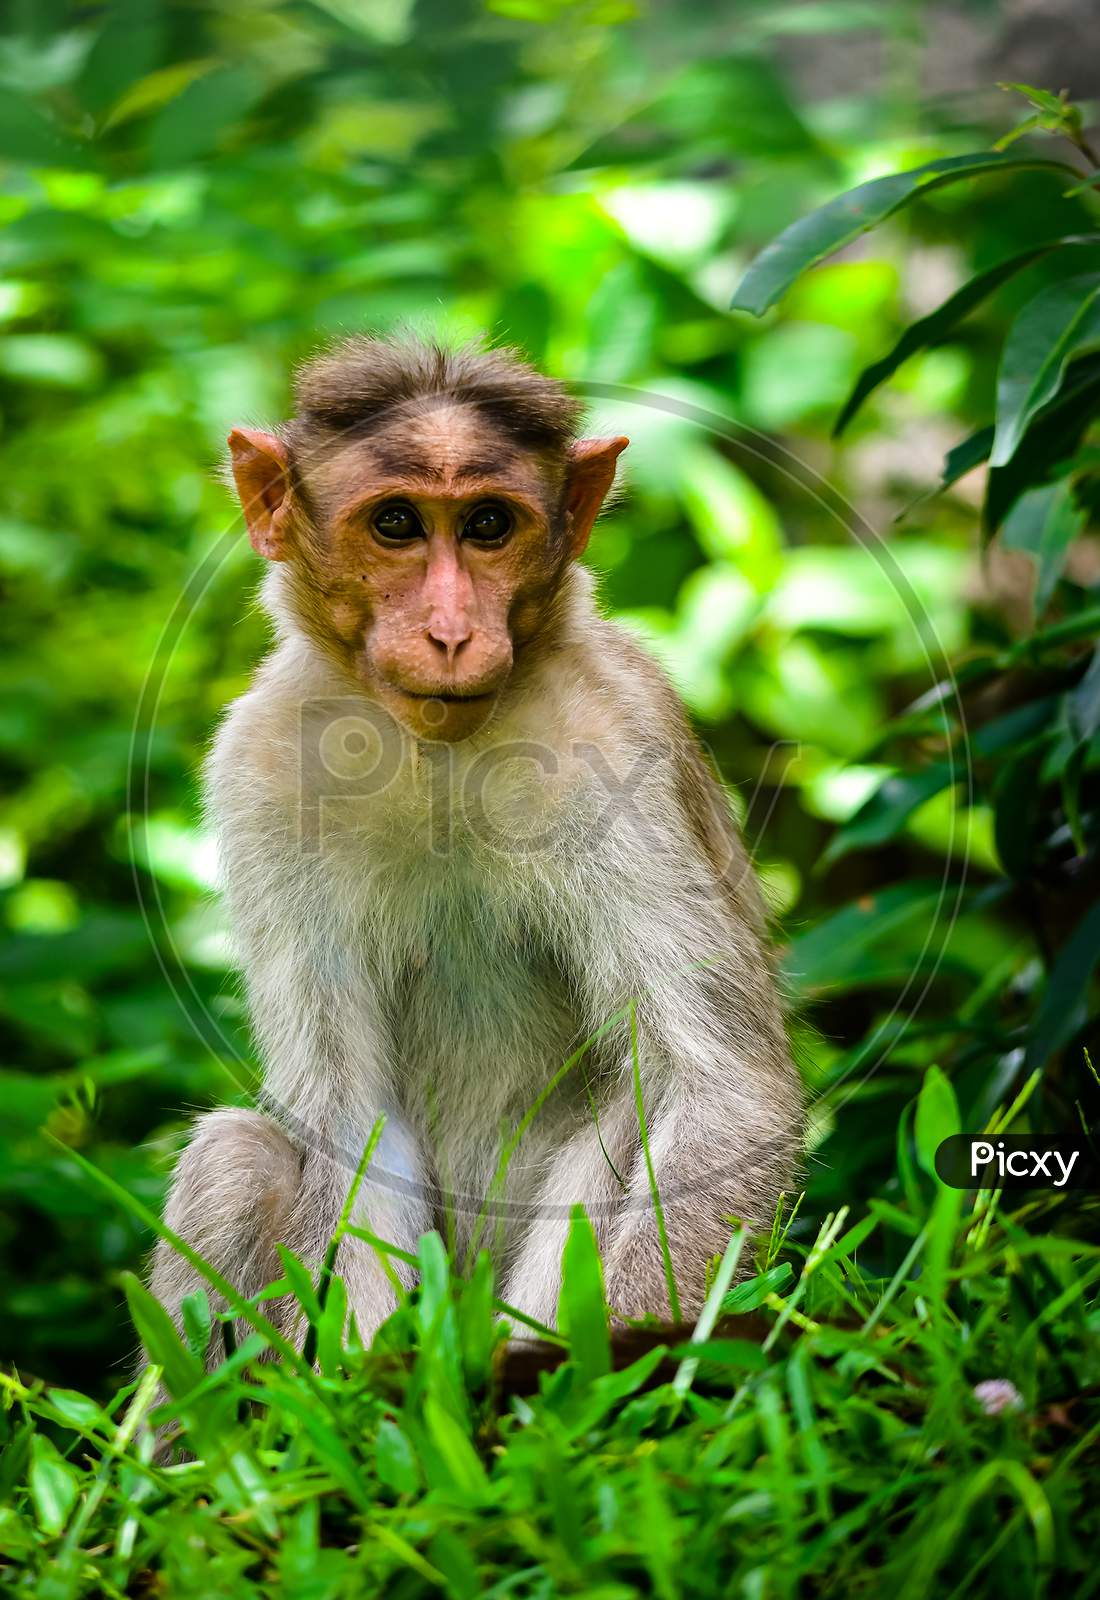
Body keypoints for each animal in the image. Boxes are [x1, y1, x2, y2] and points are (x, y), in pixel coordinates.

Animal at [149, 335, 803, 1359]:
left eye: (489, 524)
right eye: (397, 524)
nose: (453, 633)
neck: (437, 755)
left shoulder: (620, 740)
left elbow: (718, 1093)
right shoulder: (258, 767)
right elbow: (347, 1116)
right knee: (235, 1151)